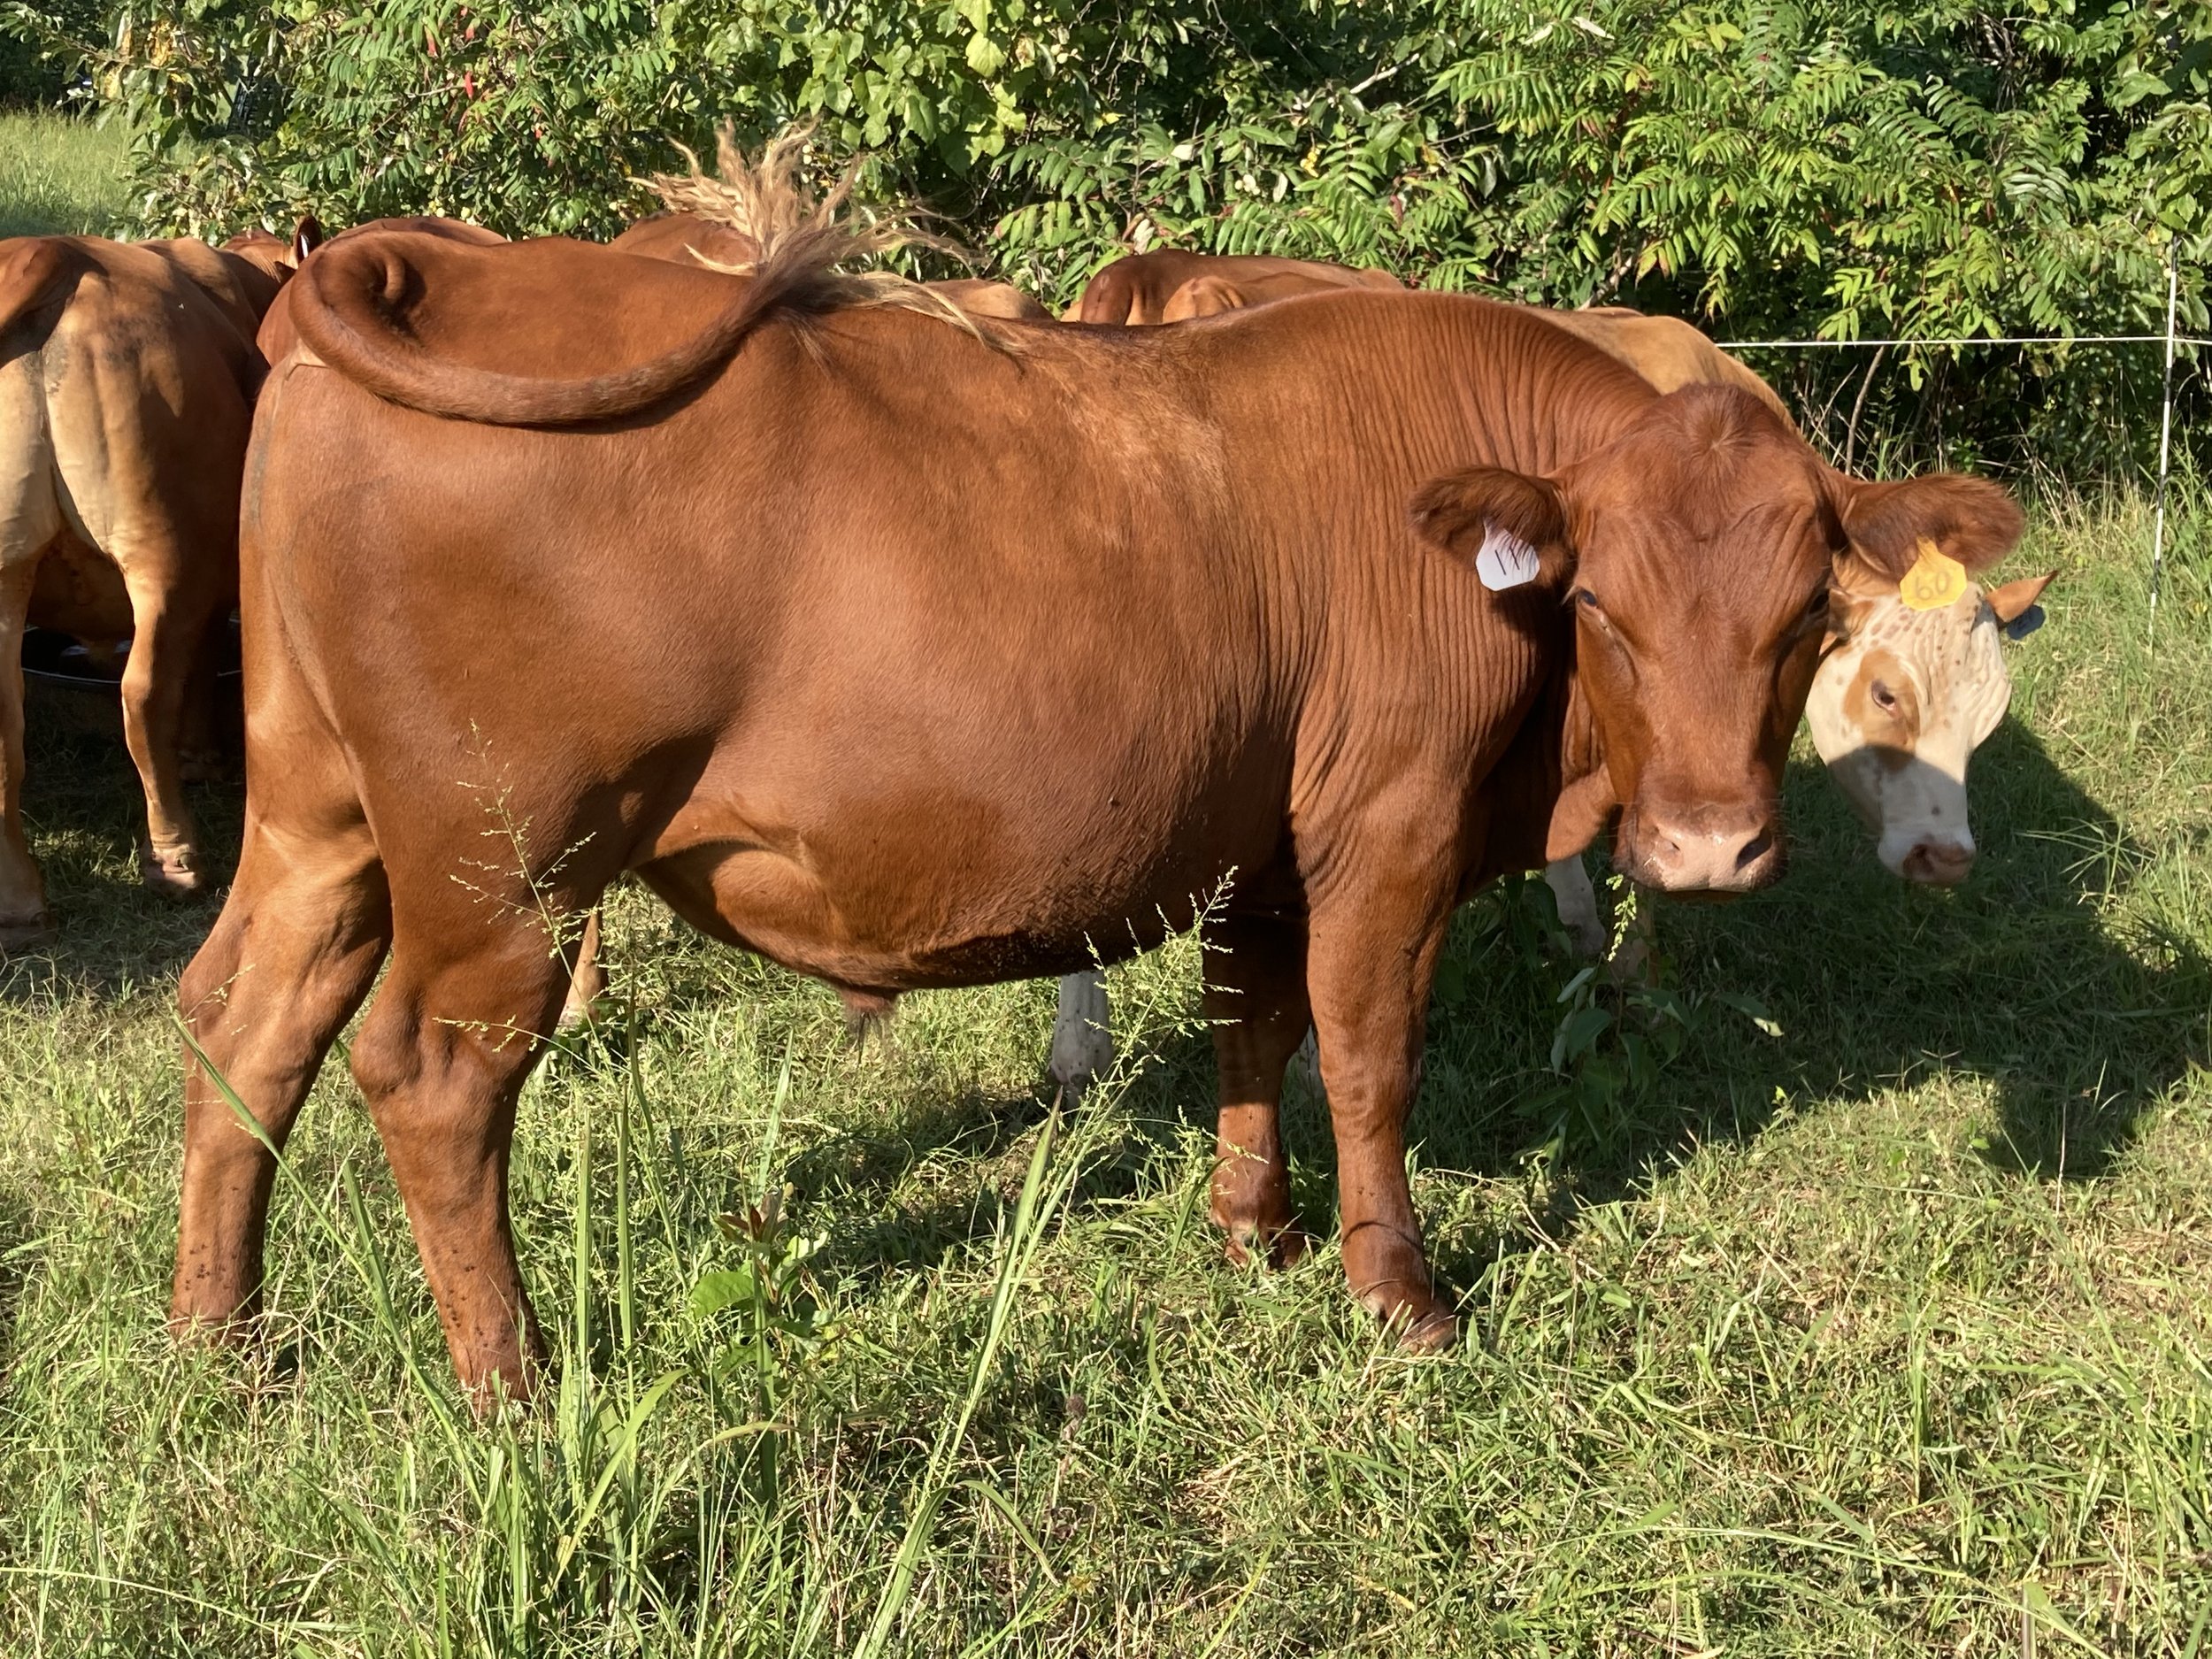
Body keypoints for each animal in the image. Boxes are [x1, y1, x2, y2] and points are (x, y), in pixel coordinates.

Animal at [0, 230, 306, 941]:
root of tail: (55, 253)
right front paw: (201, 759)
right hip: (162, 551)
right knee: (143, 696)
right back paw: (176, 861)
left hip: (10, 568)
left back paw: (20, 906)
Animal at [170, 159, 2022, 1398]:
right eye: (1607, 613)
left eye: (1801, 620)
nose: (1706, 849)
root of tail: (432, 262)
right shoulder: (1390, 827)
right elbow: (1370, 1055)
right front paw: (1400, 1294)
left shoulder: (1265, 834)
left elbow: (1255, 1025)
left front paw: (1255, 1230)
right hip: (508, 868)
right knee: (430, 1078)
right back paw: (510, 1383)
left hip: (320, 820)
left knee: (246, 1021)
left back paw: (221, 1333)